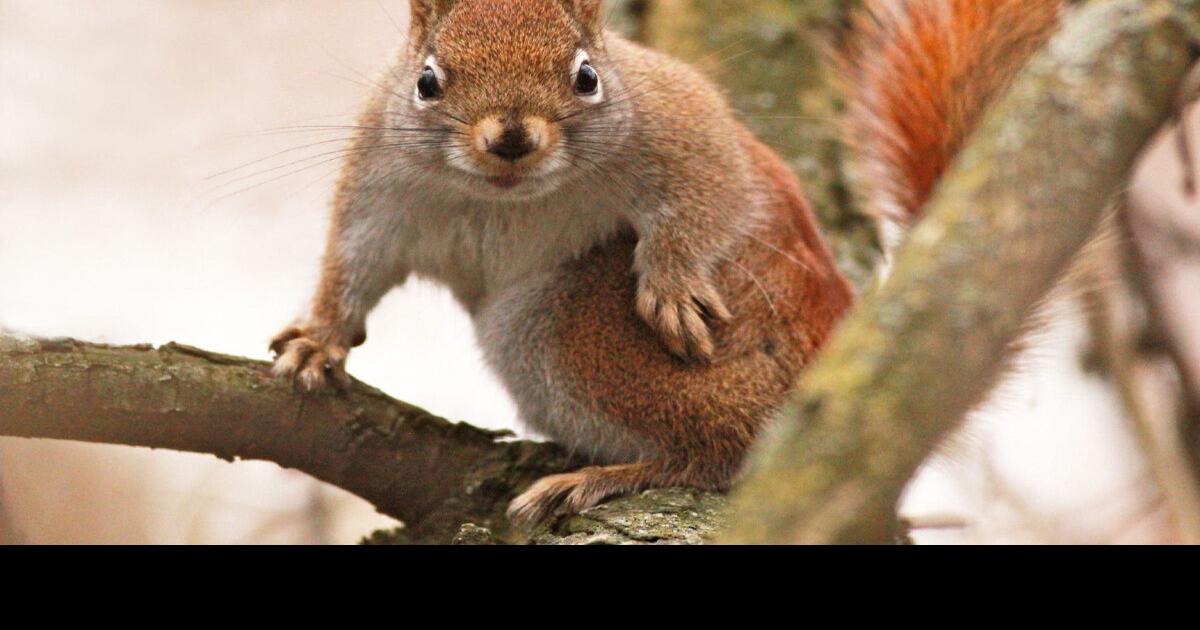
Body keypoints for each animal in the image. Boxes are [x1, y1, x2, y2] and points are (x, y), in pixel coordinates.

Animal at [269, 0, 1063, 525]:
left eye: (587, 77)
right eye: (428, 80)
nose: (512, 138)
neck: (504, 195)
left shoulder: (682, 123)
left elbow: (712, 195)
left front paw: (674, 285)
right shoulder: (383, 186)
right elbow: (355, 261)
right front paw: (320, 340)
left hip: (571, 324)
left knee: (725, 453)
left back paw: (604, 474)